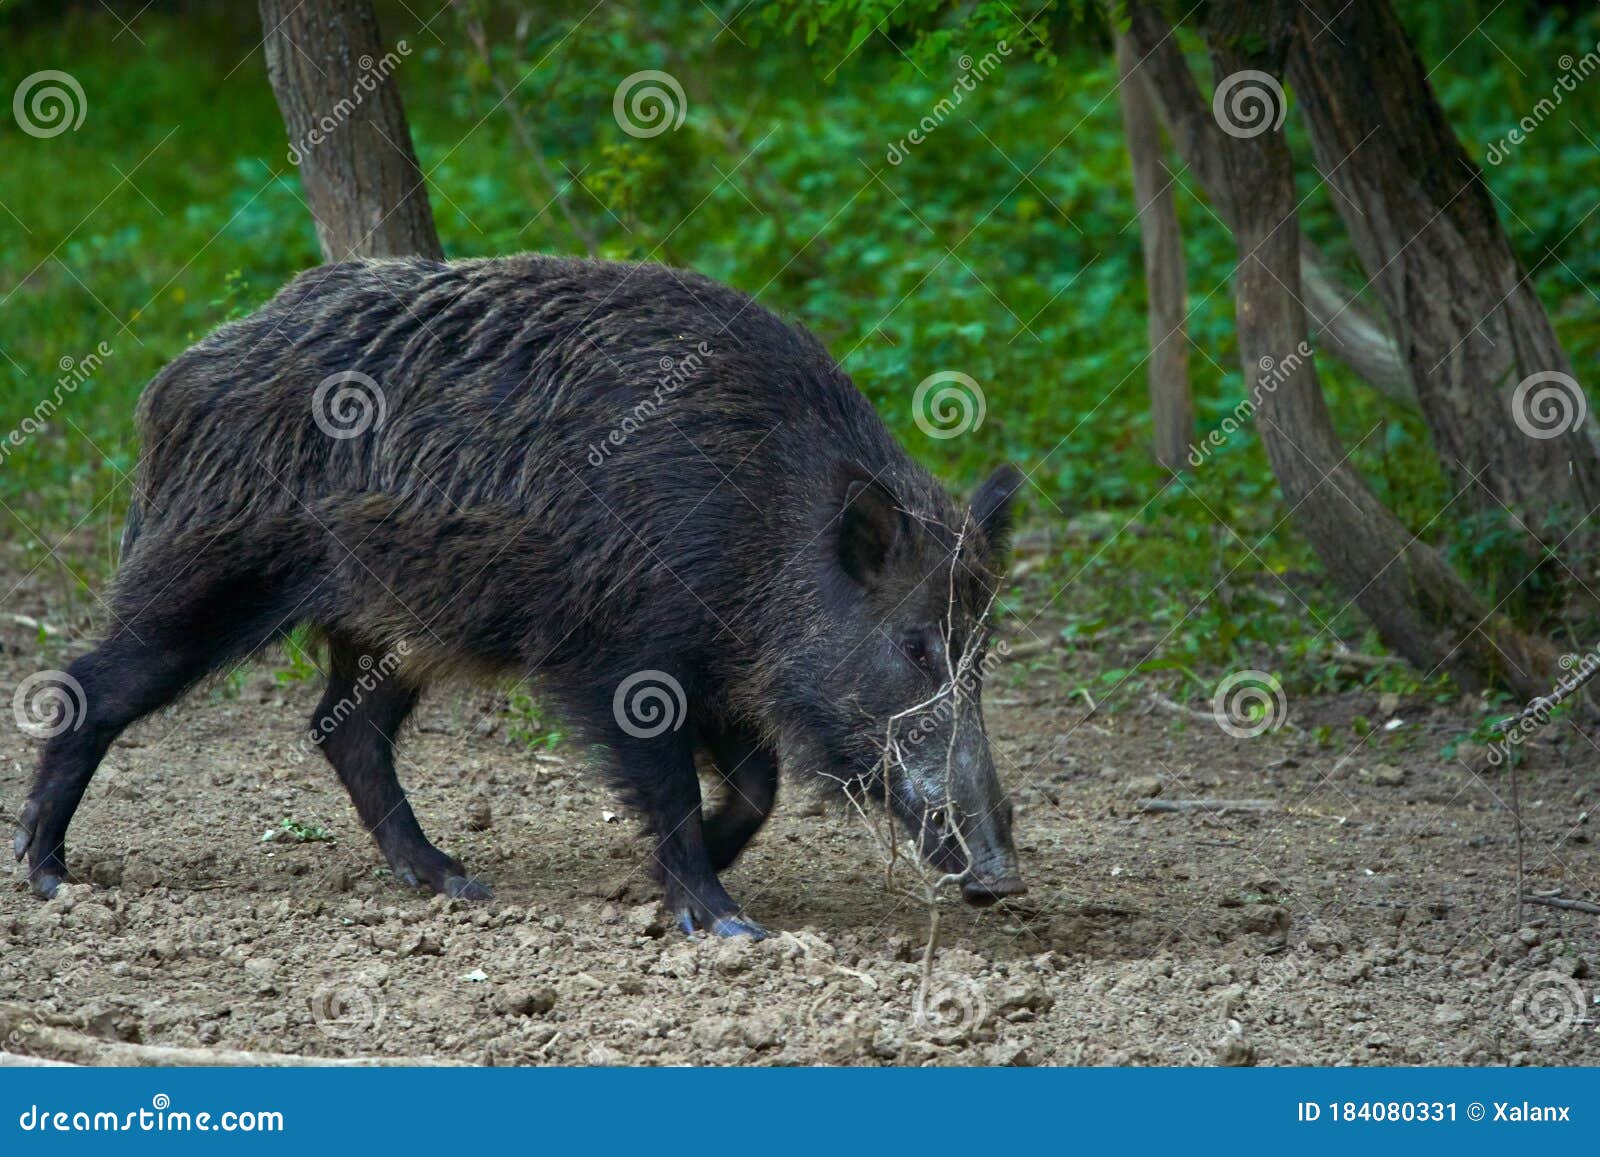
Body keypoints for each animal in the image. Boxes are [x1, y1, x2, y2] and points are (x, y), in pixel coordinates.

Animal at [14, 255, 1024, 937]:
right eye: (915, 645)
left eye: (982, 647)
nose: (1001, 876)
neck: (766, 528)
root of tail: (176, 376)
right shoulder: (621, 655)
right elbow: (673, 787)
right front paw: (724, 921)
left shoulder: (722, 669)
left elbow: (758, 786)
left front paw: (643, 881)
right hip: (209, 576)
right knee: (89, 685)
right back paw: (50, 875)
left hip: (388, 629)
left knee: (346, 730)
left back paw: (457, 882)